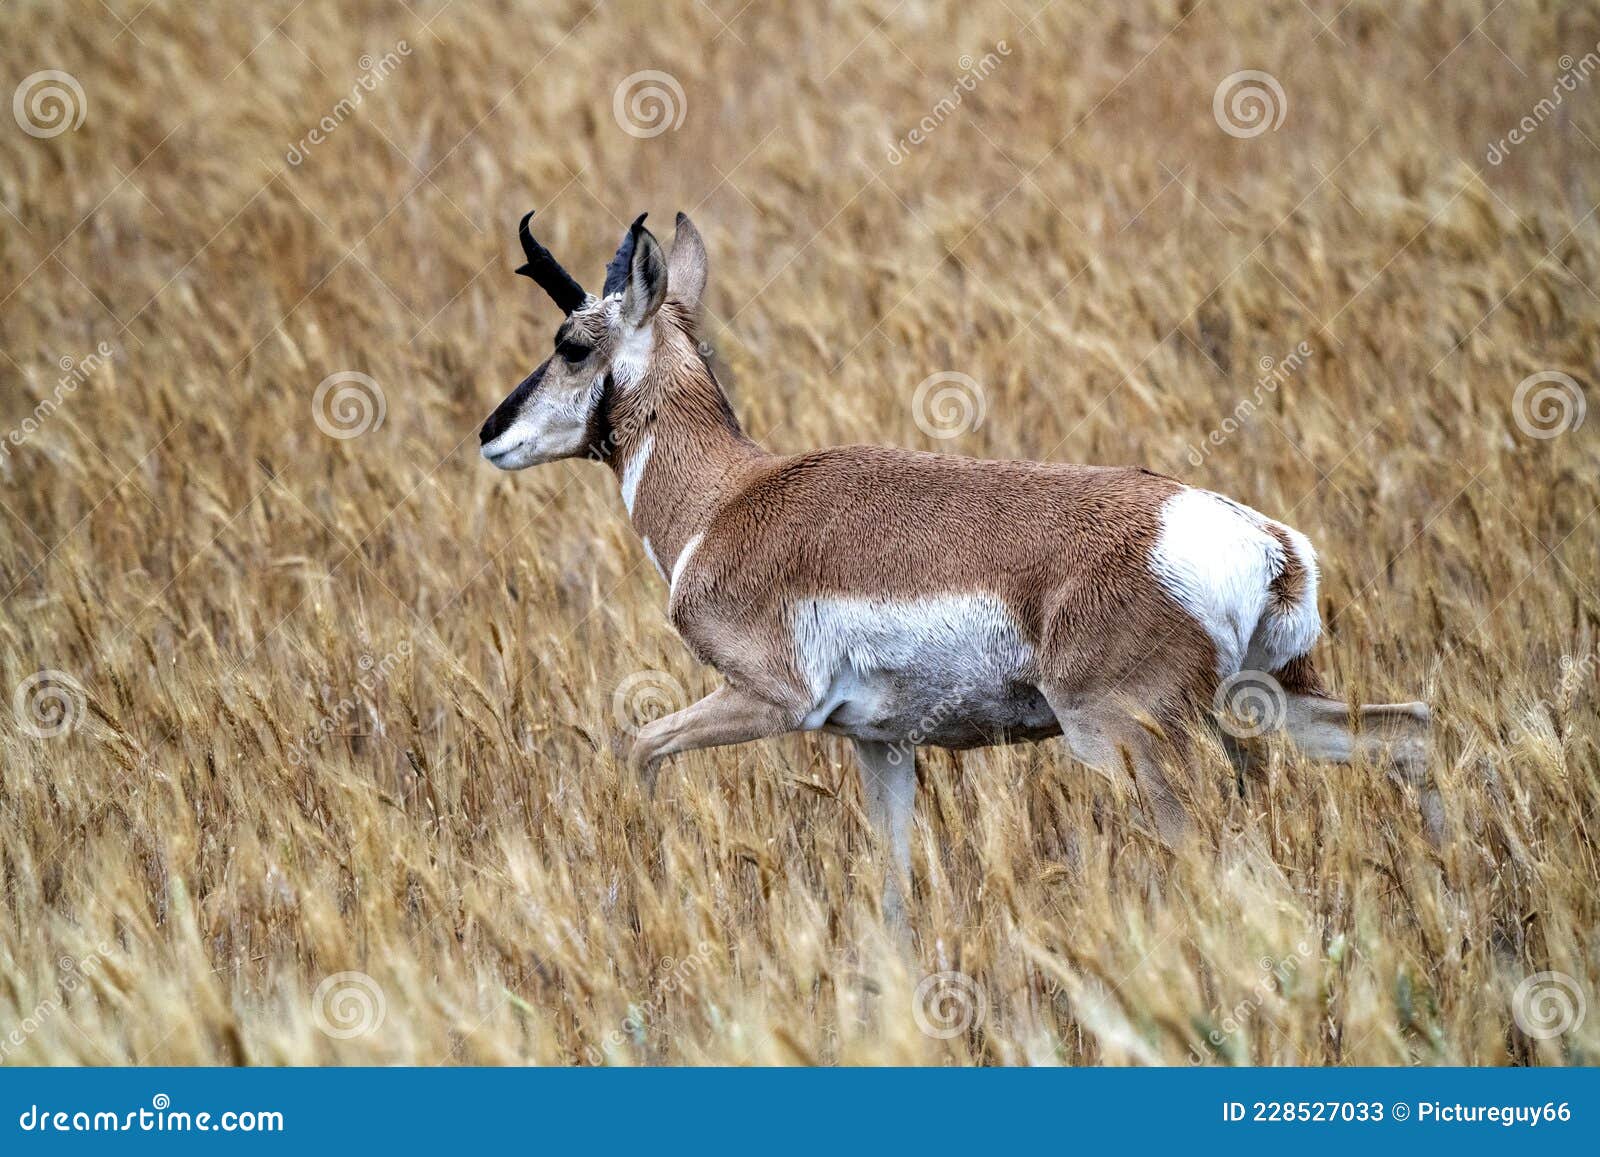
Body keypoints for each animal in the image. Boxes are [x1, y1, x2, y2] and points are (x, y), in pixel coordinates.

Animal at [479, 210, 1436, 926]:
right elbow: (894, 889)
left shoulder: (768, 701)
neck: (729, 499)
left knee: (1212, 849)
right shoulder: (880, 745)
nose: (490, 433)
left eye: (571, 343)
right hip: (1268, 703)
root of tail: (1260, 543)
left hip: (1127, 739)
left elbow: (639, 747)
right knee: (1407, 731)